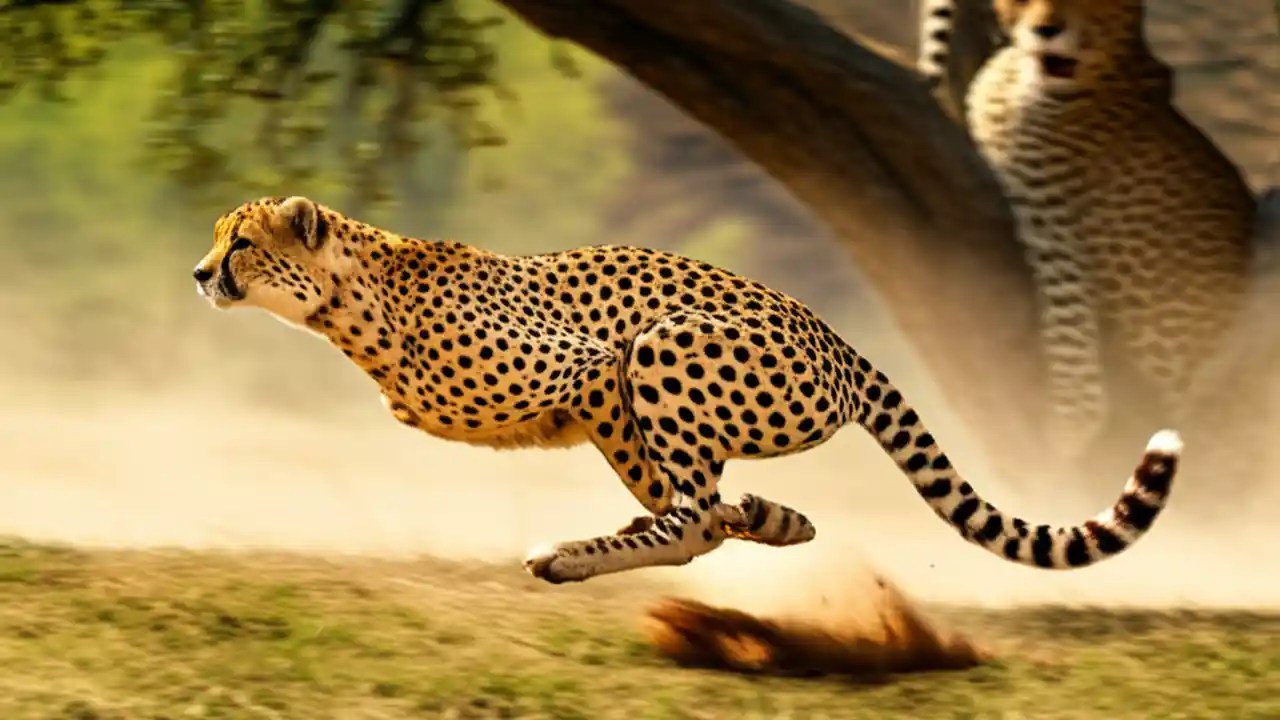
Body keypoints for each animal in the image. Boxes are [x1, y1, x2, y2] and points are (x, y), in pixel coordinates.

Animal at [193, 195, 1182, 584]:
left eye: (240, 241)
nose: (200, 274)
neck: (355, 304)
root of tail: (834, 335)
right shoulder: (599, 401)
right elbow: (690, 500)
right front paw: (774, 518)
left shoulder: (598, 362)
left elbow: (685, 506)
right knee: (700, 509)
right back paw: (778, 518)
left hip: (669, 346)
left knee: (693, 518)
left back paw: (572, 555)